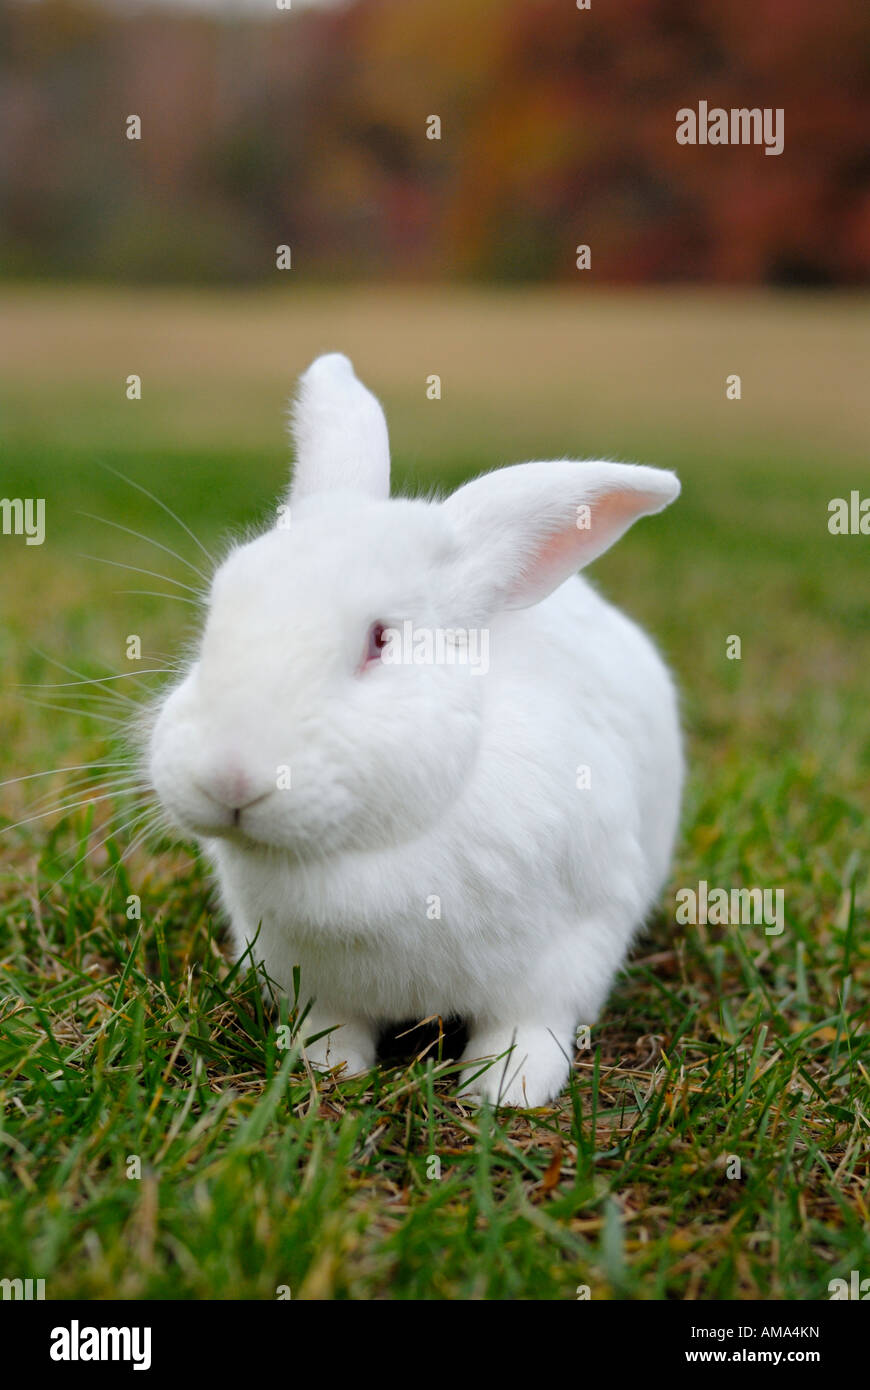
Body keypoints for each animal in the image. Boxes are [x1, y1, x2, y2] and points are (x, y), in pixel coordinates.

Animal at [148, 352, 683, 1107]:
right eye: (216, 614)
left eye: (380, 640)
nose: (229, 777)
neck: (364, 853)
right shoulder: (303, 974)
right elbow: (334, 1026)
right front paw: (327, 1069)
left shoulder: (567, 955)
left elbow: (525, 1027)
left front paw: (504, 1091)